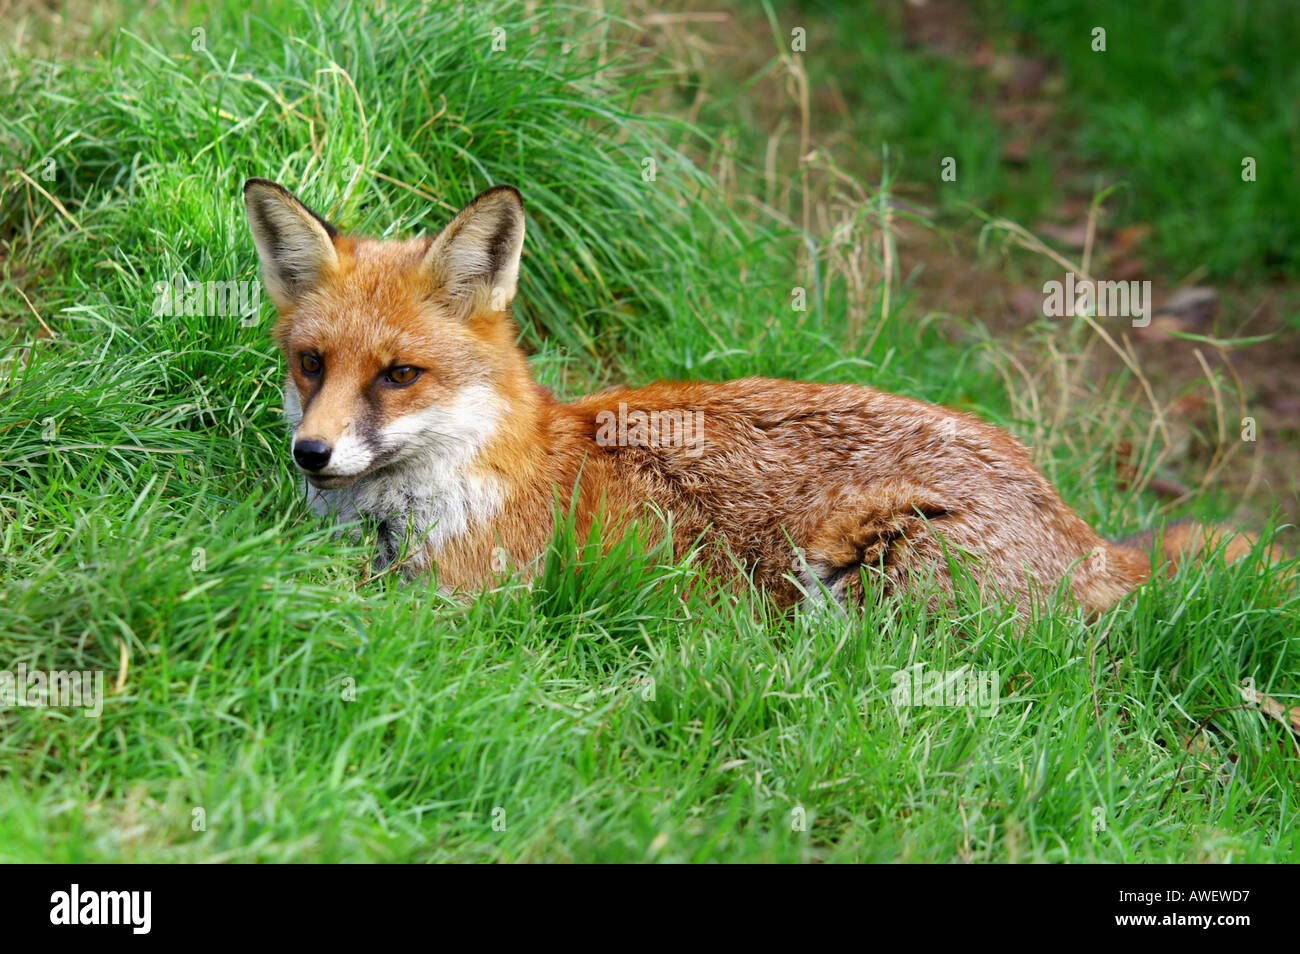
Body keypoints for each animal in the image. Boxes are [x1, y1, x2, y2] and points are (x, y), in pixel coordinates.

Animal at [242, 176, 1264, 616]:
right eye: (311, 364)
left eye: (399, 375)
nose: (311, 453)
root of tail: (1091, 538)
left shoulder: (467, 602)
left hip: (880, 577)